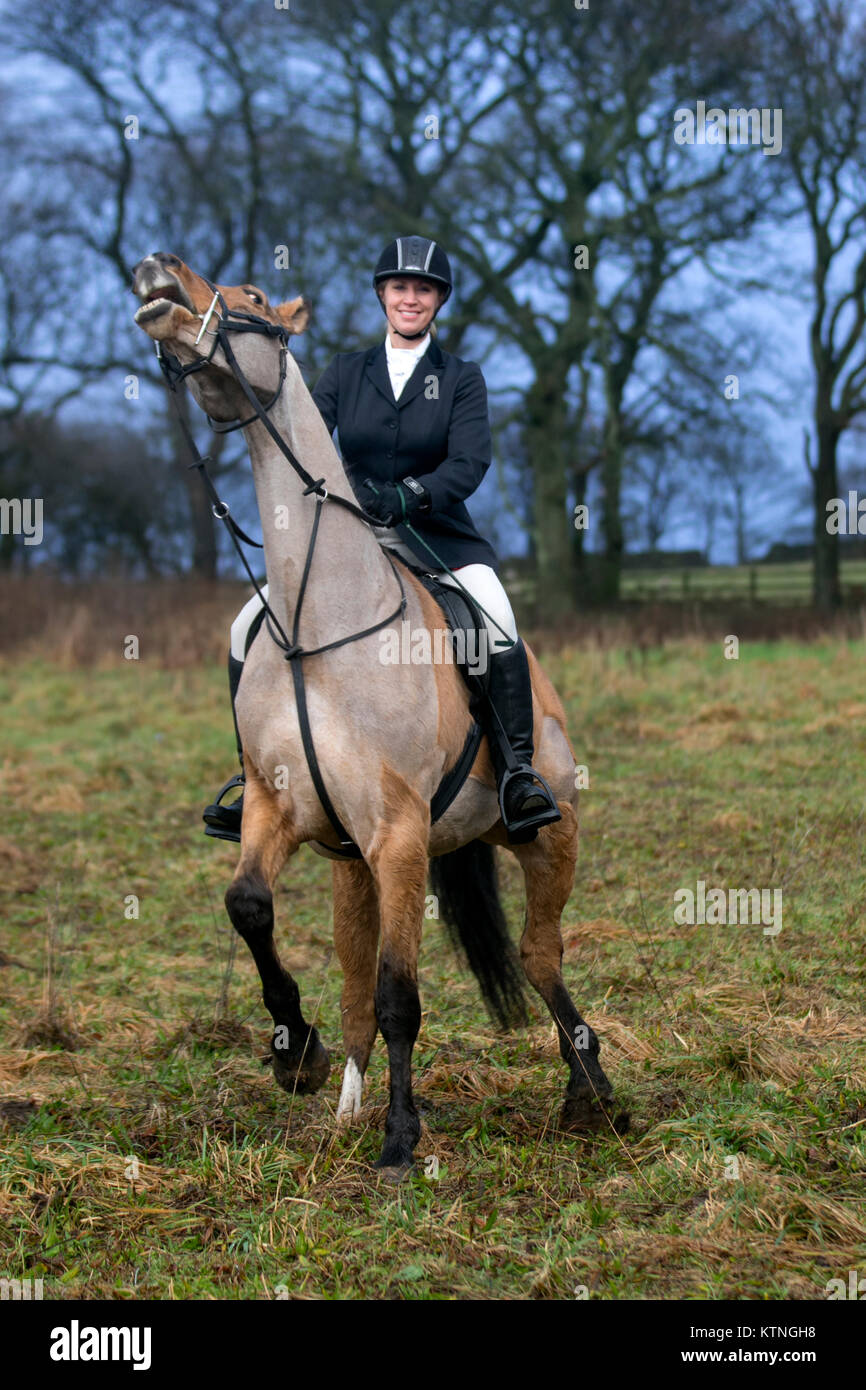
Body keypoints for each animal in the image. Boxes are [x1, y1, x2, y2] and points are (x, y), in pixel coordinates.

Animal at [131, 251, 615, 1173]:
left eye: (252, 299)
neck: (319, 625)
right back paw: (348, 1101)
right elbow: (251, 909)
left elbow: (401, 995)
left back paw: (592, 1094)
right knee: (358, 979)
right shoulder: (282, 809)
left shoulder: (398, 836)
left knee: (539, 956)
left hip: (551, 832)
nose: (157, 272)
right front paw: (299, 1055)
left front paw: (399, 1142)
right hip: (349, 863)